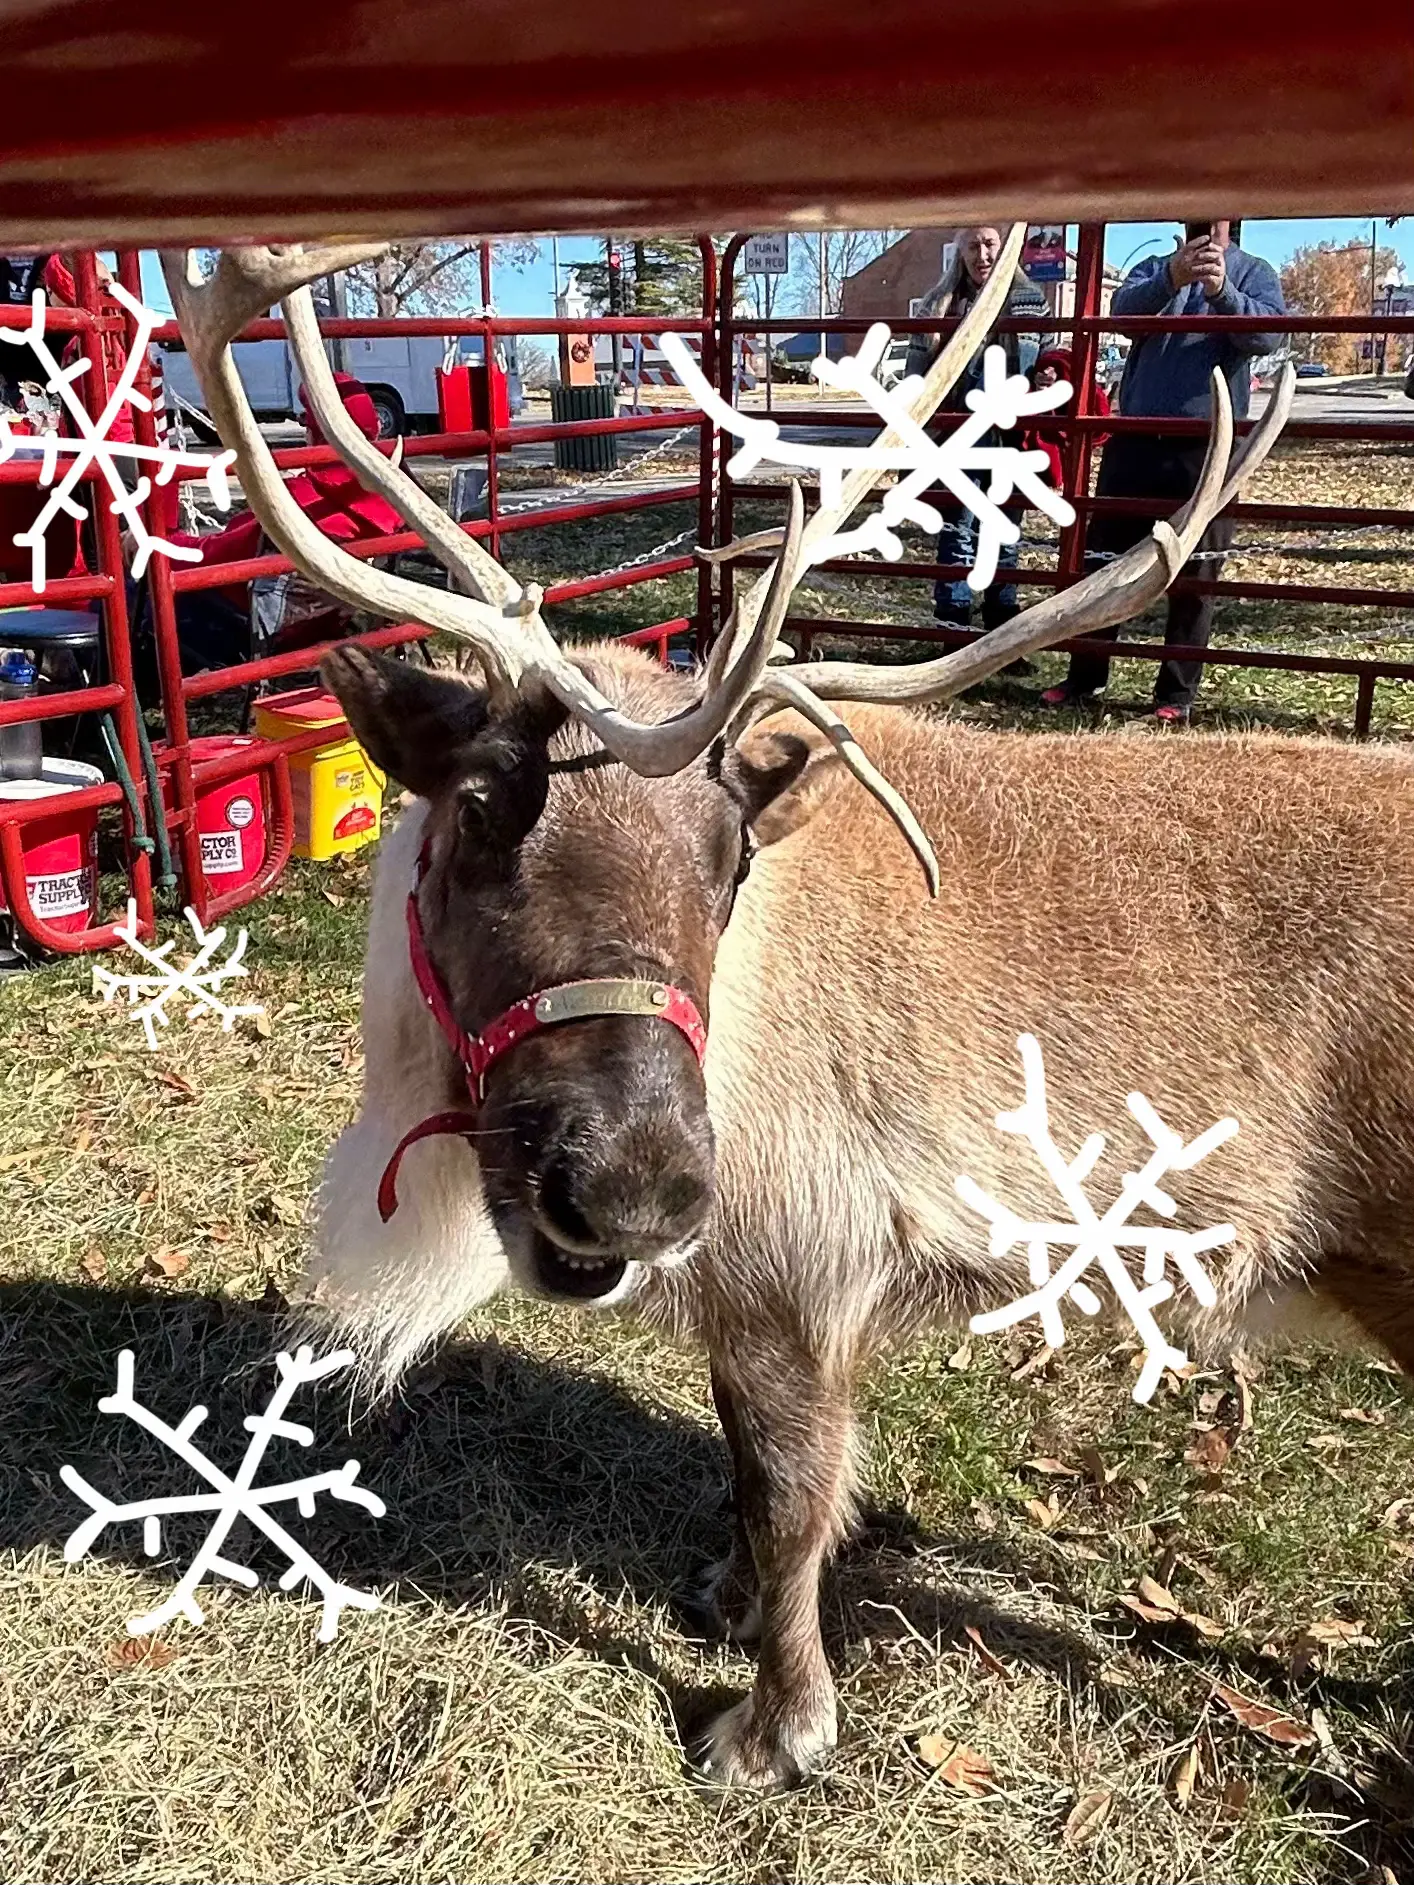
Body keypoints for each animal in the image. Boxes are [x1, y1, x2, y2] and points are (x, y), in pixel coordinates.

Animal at [160, 230, 1414, 1792]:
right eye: (478, 803)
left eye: (730, 853)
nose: (632, 1187)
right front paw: (729, 1605)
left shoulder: (801, 1267)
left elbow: (789, 1495)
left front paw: (775, 1722)